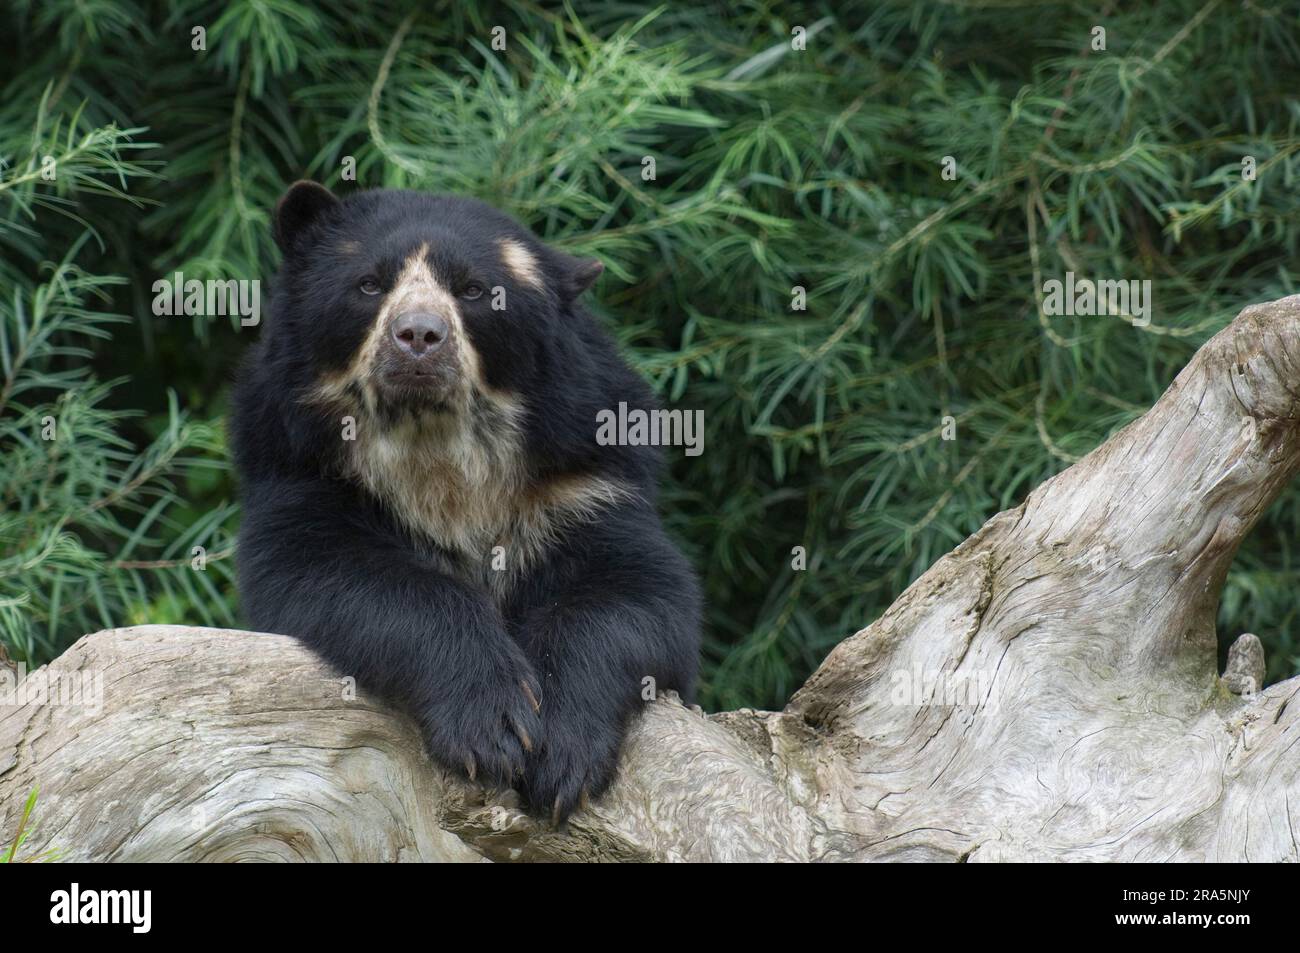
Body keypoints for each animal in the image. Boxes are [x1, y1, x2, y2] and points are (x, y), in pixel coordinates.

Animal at [231, 181, 701, 821]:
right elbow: (333, 571)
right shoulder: (303, 469)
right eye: (370, 284)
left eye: (474, 291)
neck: (436, 441)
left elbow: (638, 590)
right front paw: (493, 727)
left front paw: (561, 755)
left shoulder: (583, 483)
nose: (418, 337)